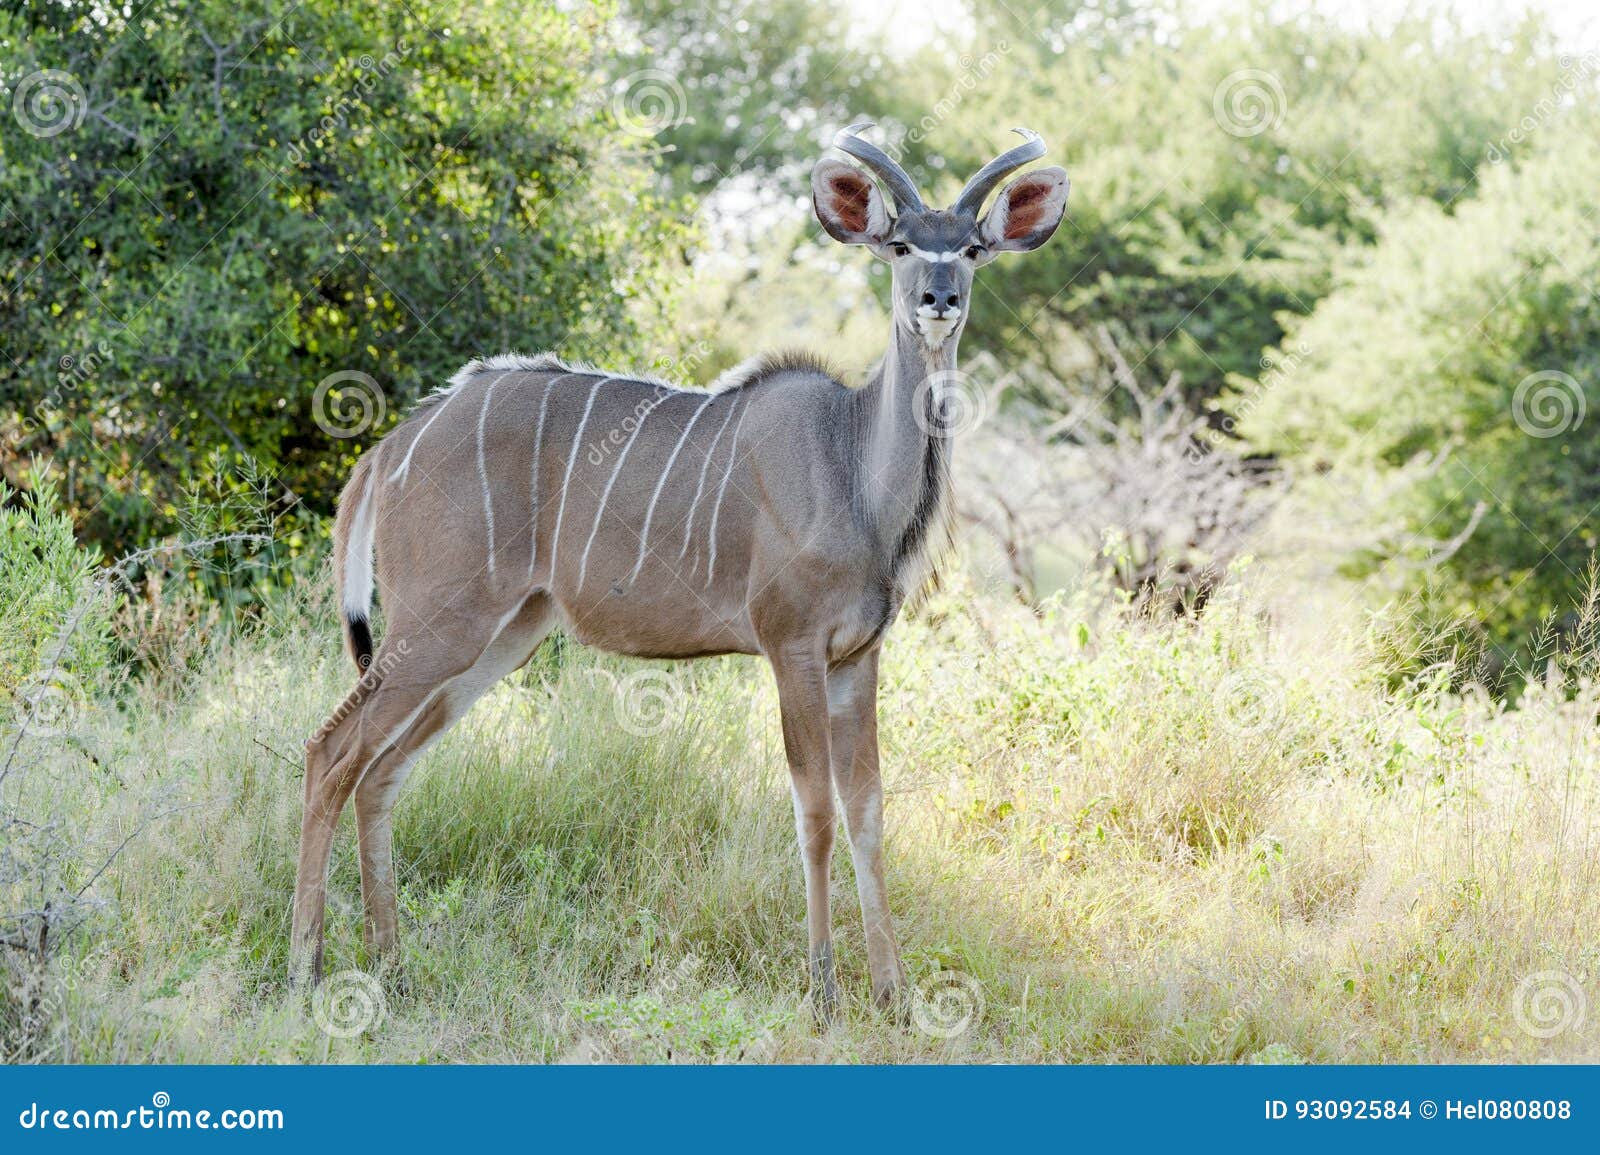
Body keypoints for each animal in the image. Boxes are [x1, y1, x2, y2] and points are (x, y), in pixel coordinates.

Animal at [291, 123, 1069, 1016]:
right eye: (902, 244)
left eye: (972, 248)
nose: (938, 300)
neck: (851, 461)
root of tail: (390, 448)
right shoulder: (792, 646)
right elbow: (815, 809)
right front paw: (824, 990)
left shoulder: (857, 656)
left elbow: (869, 809)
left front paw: (894, 994)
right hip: (437, 626)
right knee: (331, 752)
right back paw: (305, 968)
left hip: (498, 640)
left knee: (381, 771)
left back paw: (391, 964)